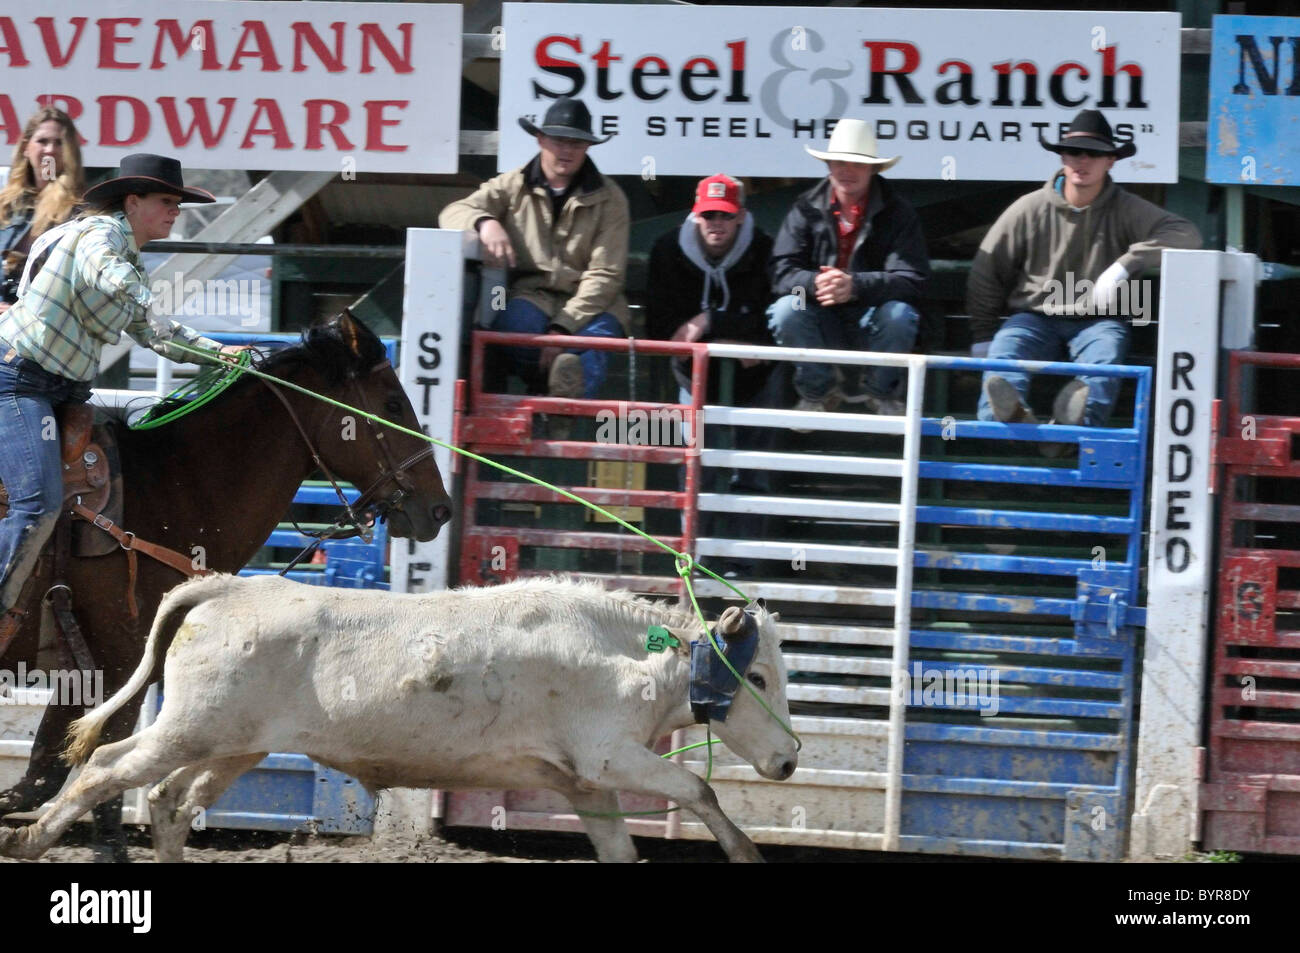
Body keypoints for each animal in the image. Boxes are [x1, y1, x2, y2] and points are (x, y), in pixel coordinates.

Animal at [0, 574, 797, 863]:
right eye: (757, 676)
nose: (789, 759)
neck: (627, 650)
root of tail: (225, 586)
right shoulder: (610, 757)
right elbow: (699, 788)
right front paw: (745, 851)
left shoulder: (584, 785)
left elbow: (620, 849)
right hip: (190, 728)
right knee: (106, 769)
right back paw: (28, 840)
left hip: (233, 744)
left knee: (169, 800)